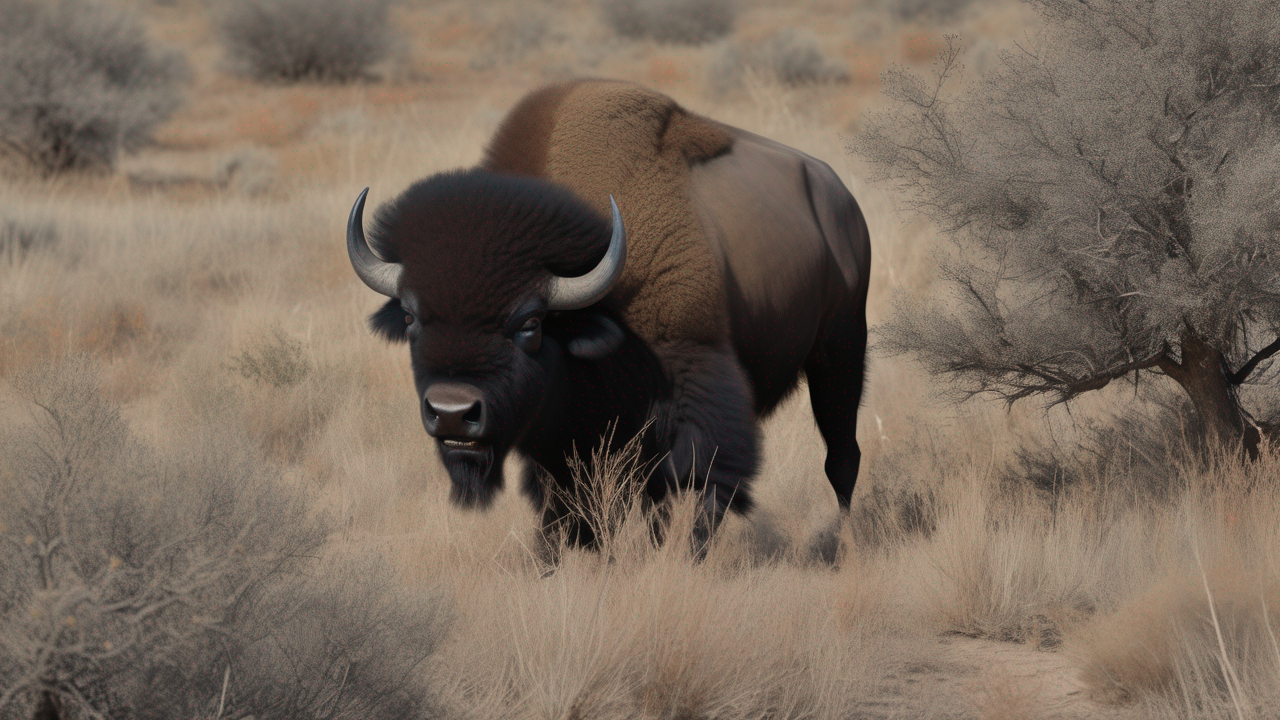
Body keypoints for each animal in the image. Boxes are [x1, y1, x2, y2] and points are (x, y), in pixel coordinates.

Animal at [348, 79, 870, 556]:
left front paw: (685, 557)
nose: (453, 413)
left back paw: (846, 543)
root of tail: (841, 198)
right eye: (411, 317)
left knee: (842, 456)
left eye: (530, 323)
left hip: (840, 354)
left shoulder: (696, 386)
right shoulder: (574, 437)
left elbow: (703, 484)